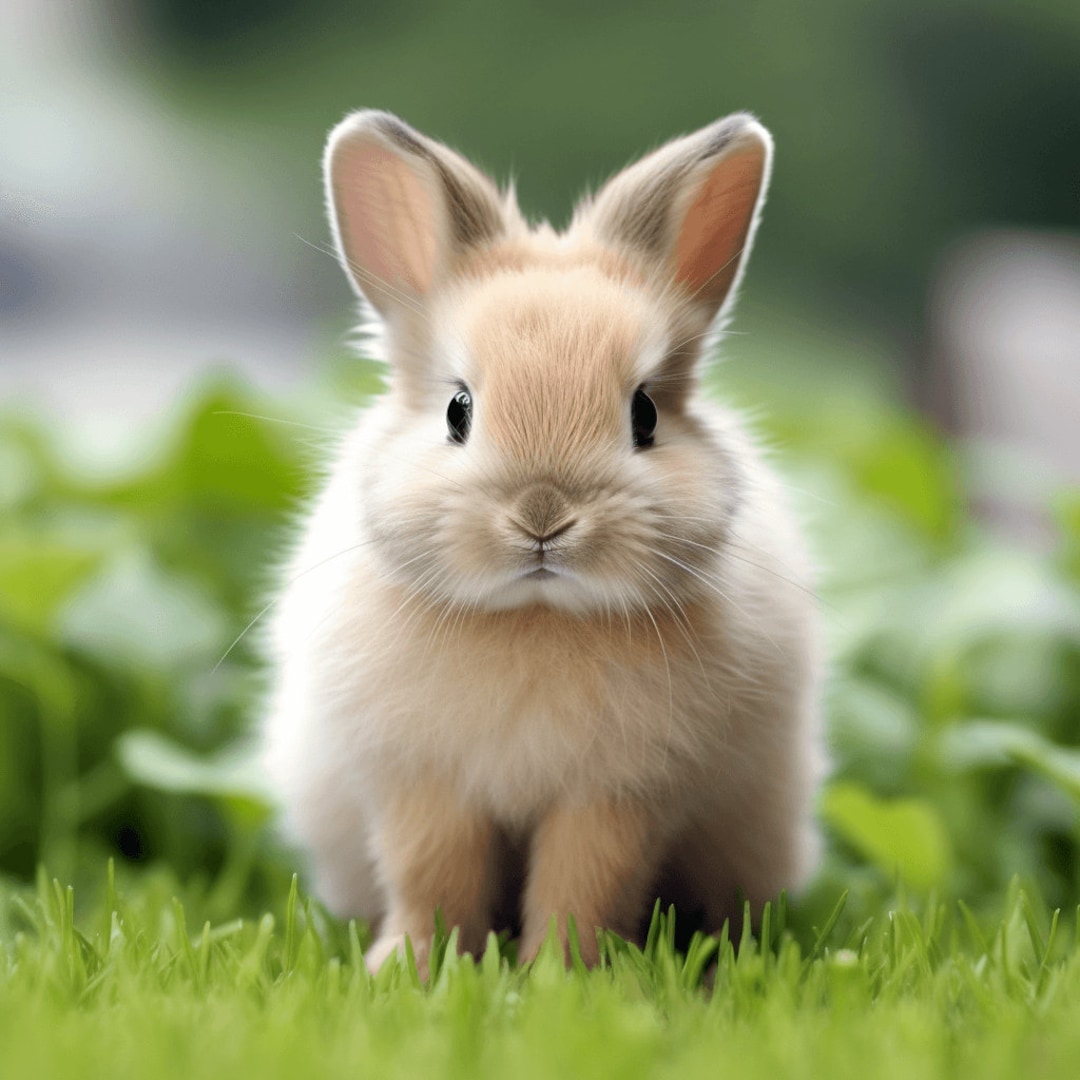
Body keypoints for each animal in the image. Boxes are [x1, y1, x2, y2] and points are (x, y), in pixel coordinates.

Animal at [262, 109, 825, 973]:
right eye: (458, 410)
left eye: (645, 415)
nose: (542, 515)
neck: (536, 618)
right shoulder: (422, 787)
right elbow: (432, 879)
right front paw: (408, 969)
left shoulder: (615, 800)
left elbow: (582, 890)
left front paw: (561, 977)